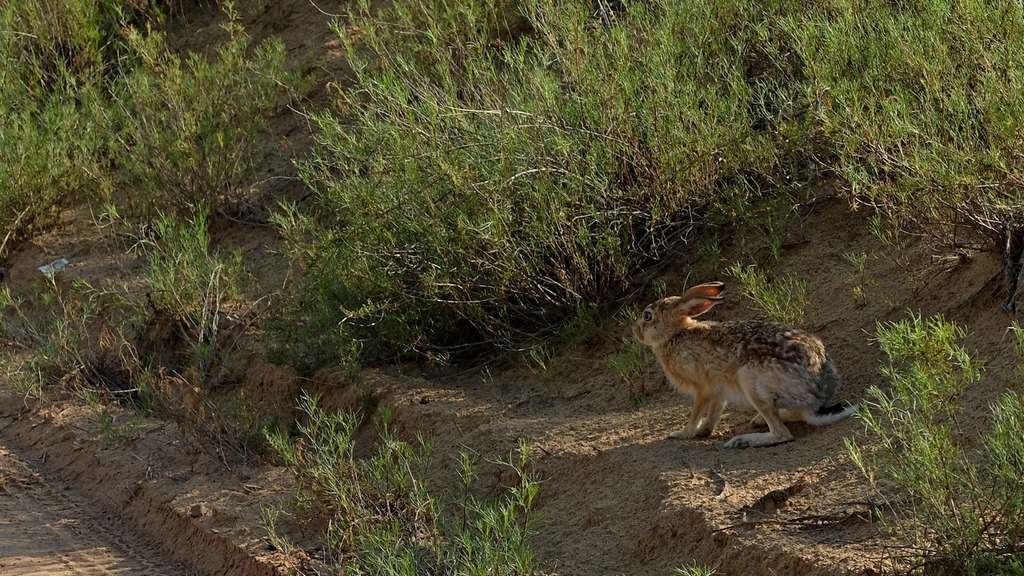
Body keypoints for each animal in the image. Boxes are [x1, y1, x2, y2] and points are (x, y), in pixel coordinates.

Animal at [633, 281, 856, 448]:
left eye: (647, 316)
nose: (635, 331)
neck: (674, 336)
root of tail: (820, 393)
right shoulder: (718, 392)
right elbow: (713, 413)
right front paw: (704, 431)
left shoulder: (704, 388)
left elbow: (696, 413)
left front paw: (682, 433)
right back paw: (757, 421)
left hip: (750, 378)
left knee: (782, 434)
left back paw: (741, 440)